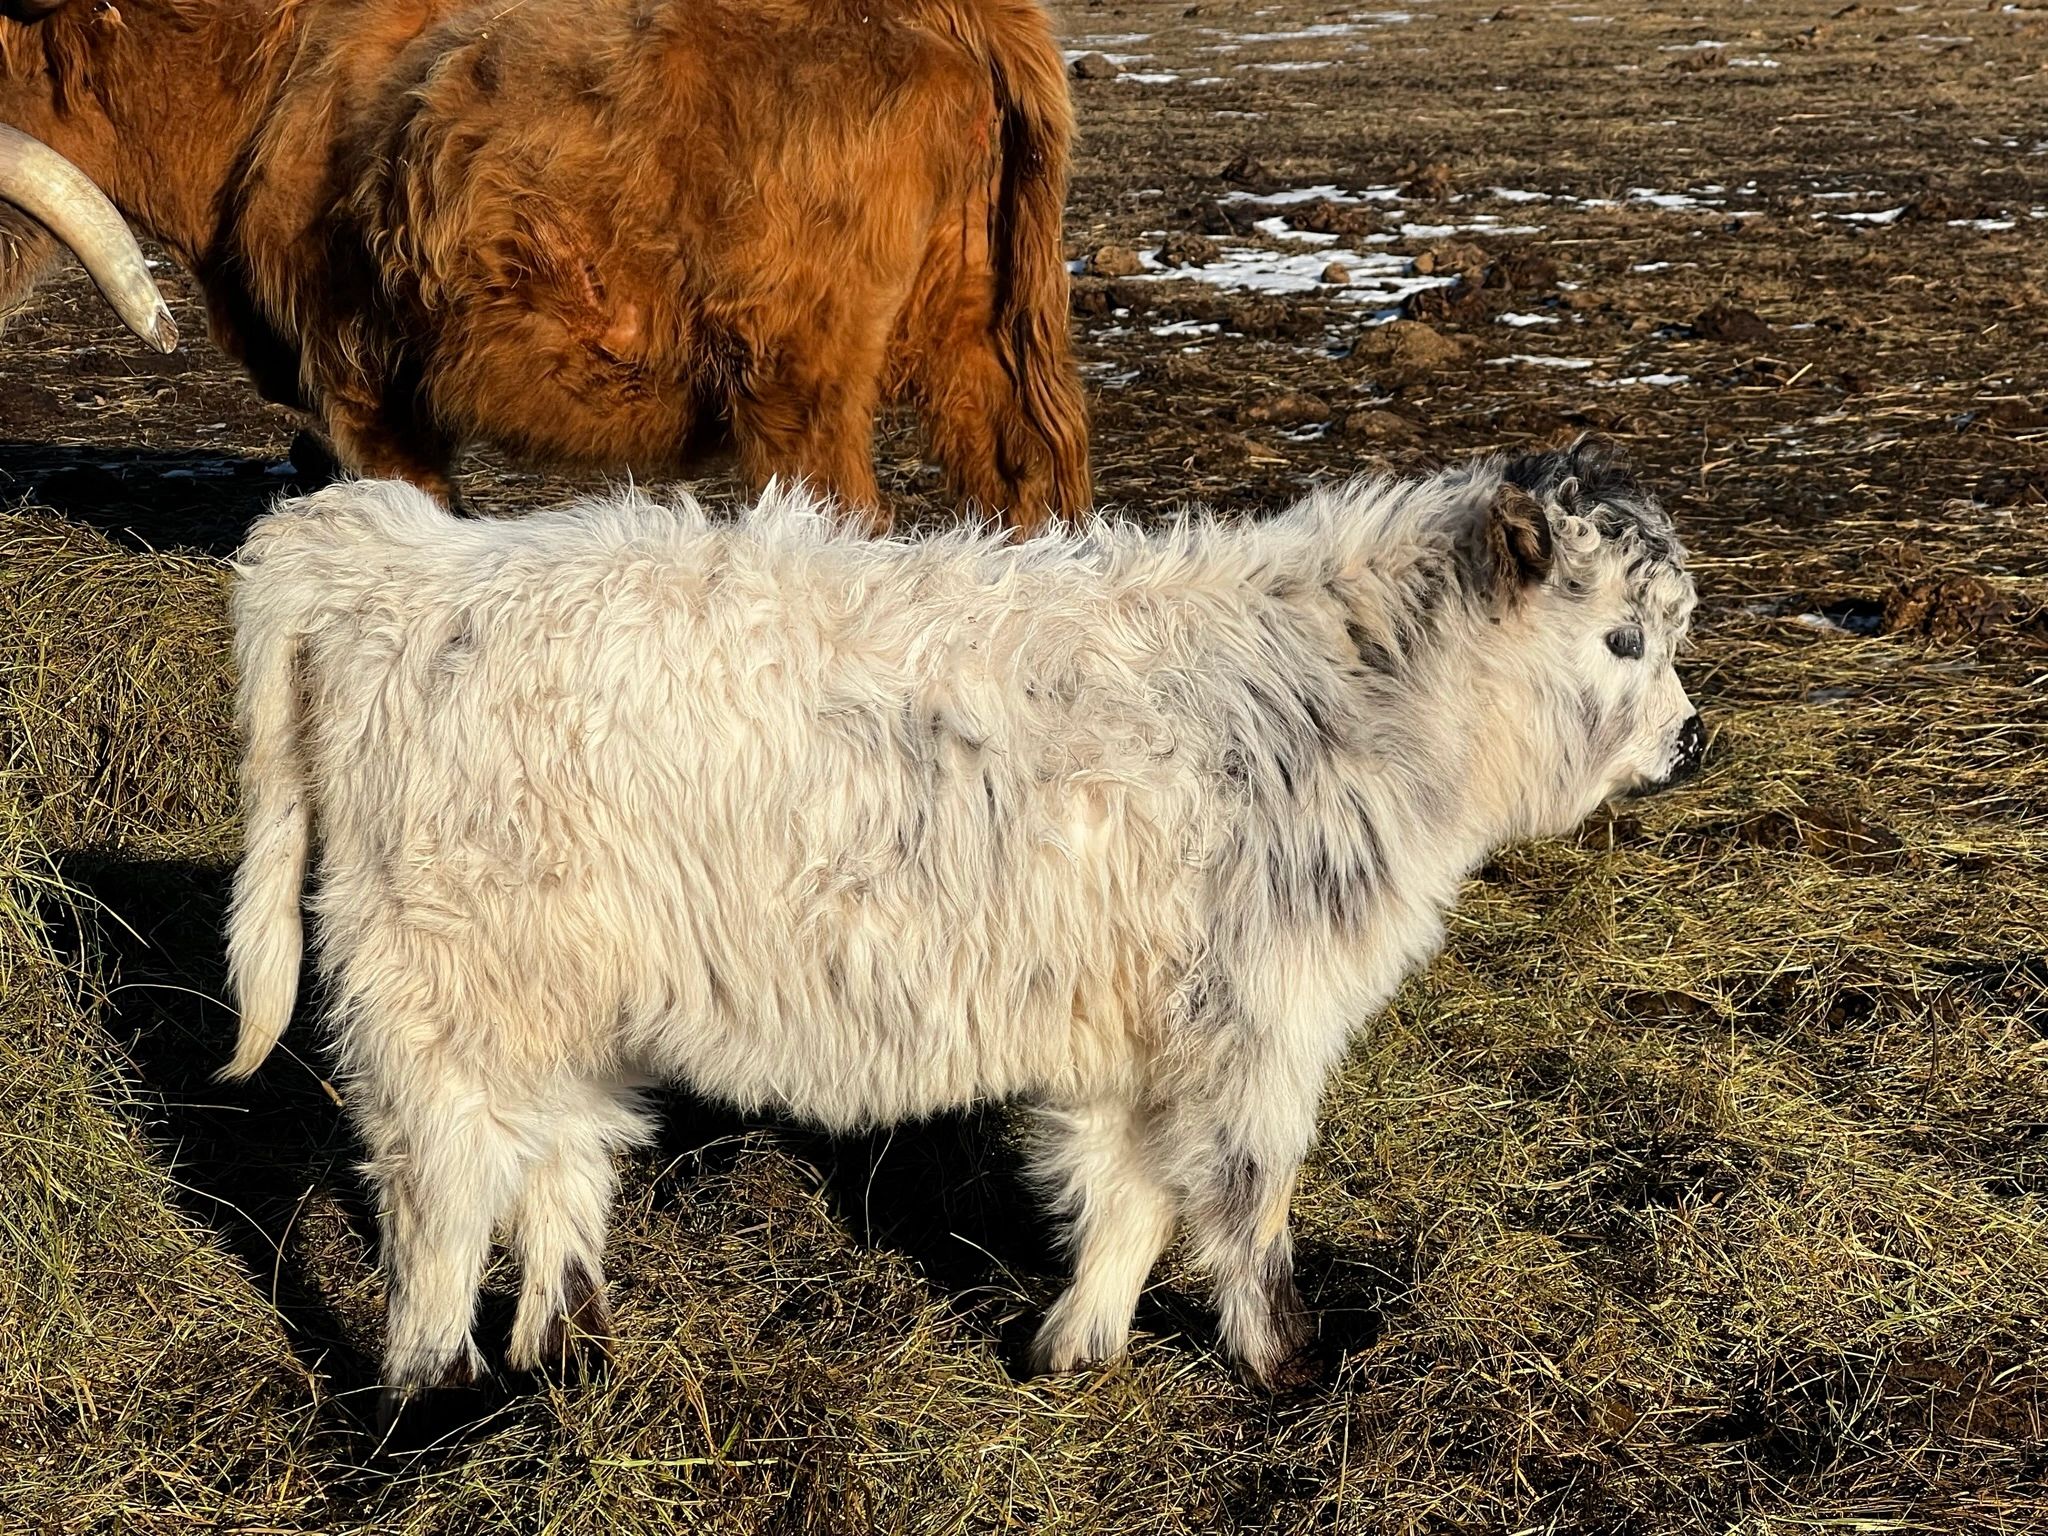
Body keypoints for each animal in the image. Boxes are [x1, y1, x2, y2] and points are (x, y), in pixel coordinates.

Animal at [221, 440, 1703, 1405]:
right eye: (1623, 639)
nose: (1696, 739)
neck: (1349, 702)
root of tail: (399, 560)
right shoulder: (1255, 1026)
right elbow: (1242, 1197)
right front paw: (1288, 1362)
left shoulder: (1139, 1028)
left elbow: (1125, 1194)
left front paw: (1071, 1351)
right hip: (442, 987)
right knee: (440, 1185)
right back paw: (437, 1391)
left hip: (559, 995)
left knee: (555, 1157)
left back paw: (568, 1352)